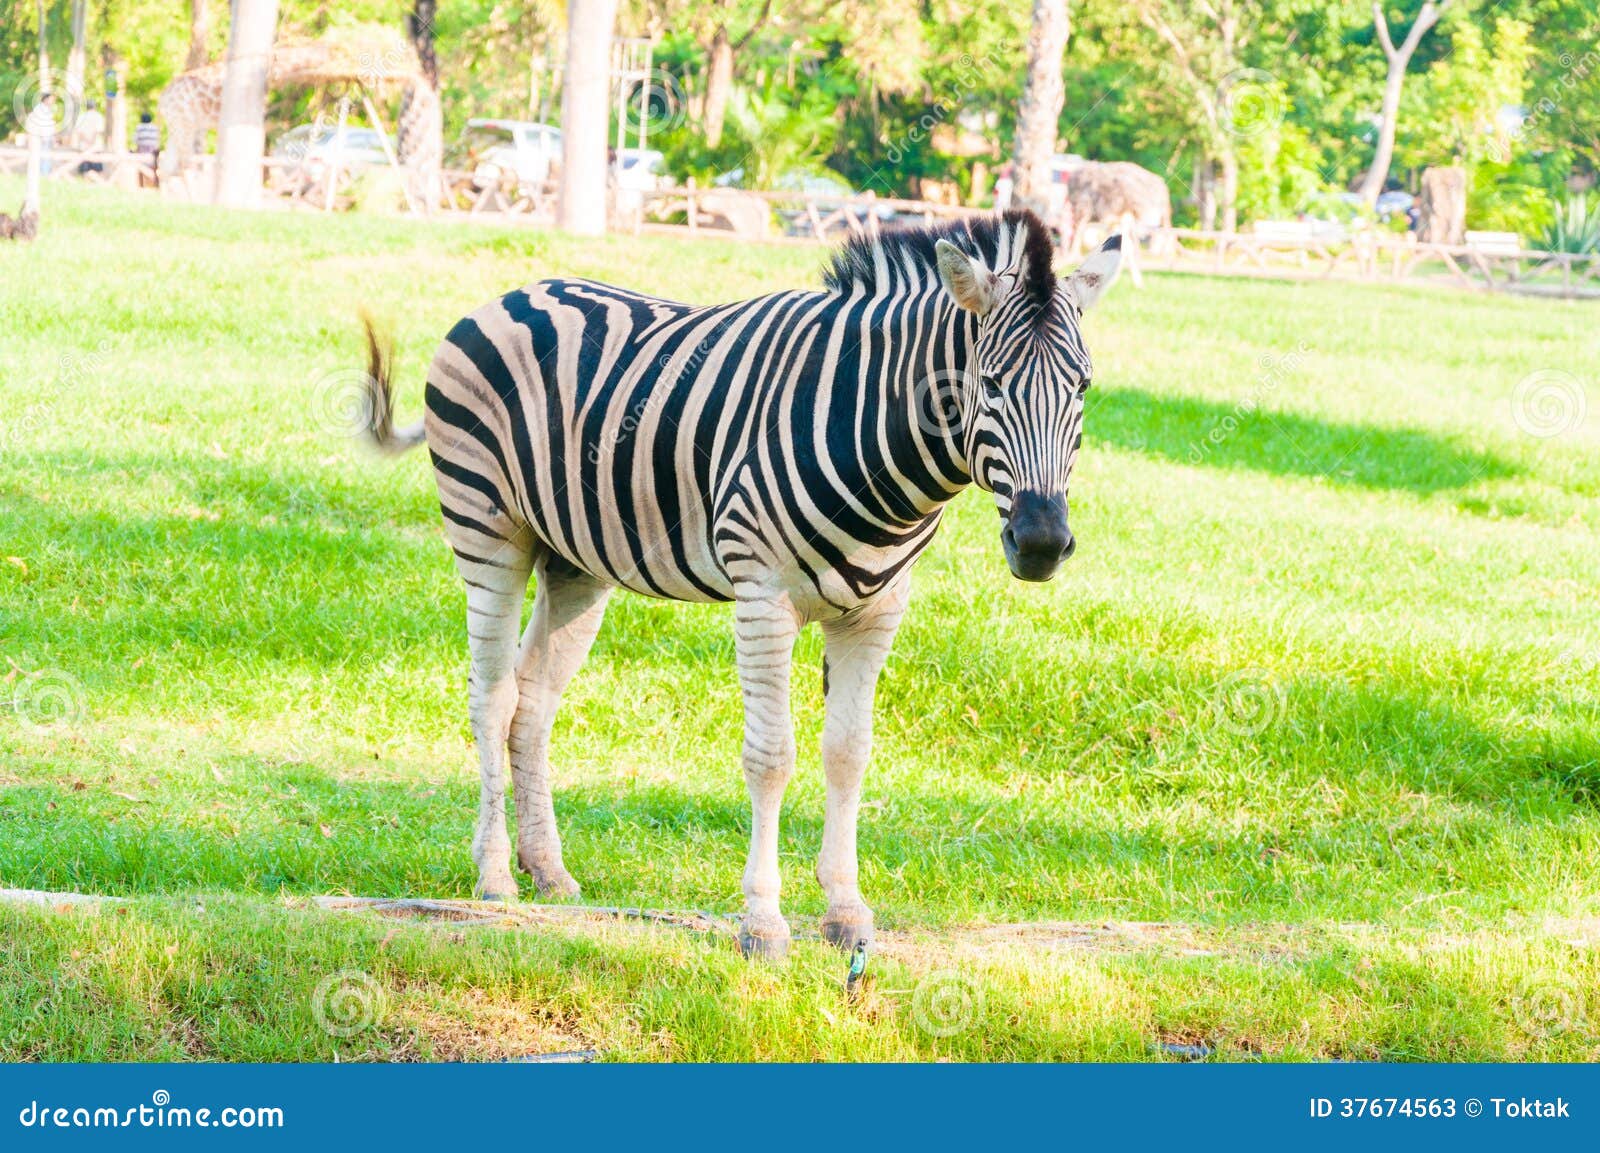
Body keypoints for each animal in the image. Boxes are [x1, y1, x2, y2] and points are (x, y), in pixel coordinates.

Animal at [360, 208, 1121, 959]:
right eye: (989, 384)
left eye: (1083, 389)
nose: (1042, 542)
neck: (871, 436)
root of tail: (509, 296)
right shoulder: (762, 595)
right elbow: (771, 757)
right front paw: (762, 921)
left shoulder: (877, 611)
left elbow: (848, 754)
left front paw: (846, 910)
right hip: (489, 532)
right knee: (491, 698)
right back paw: (494, 877)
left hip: (575, 562)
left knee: (532, 703)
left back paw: (547, 870)